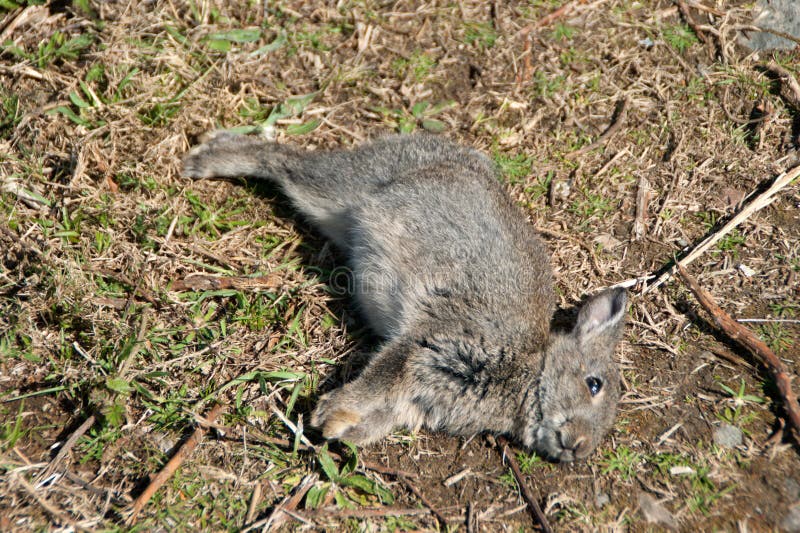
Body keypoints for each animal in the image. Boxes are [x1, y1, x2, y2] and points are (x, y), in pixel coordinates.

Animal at [182, 132, 627, 462]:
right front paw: (330, 413)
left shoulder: (417, 397)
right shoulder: (428, 343)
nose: (580, 449)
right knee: (283, 161)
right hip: (335, 188)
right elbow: (379, 379)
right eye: (593, 384)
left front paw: (338, 429)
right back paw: (204, 158)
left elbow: (384, 411)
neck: (530, 368)